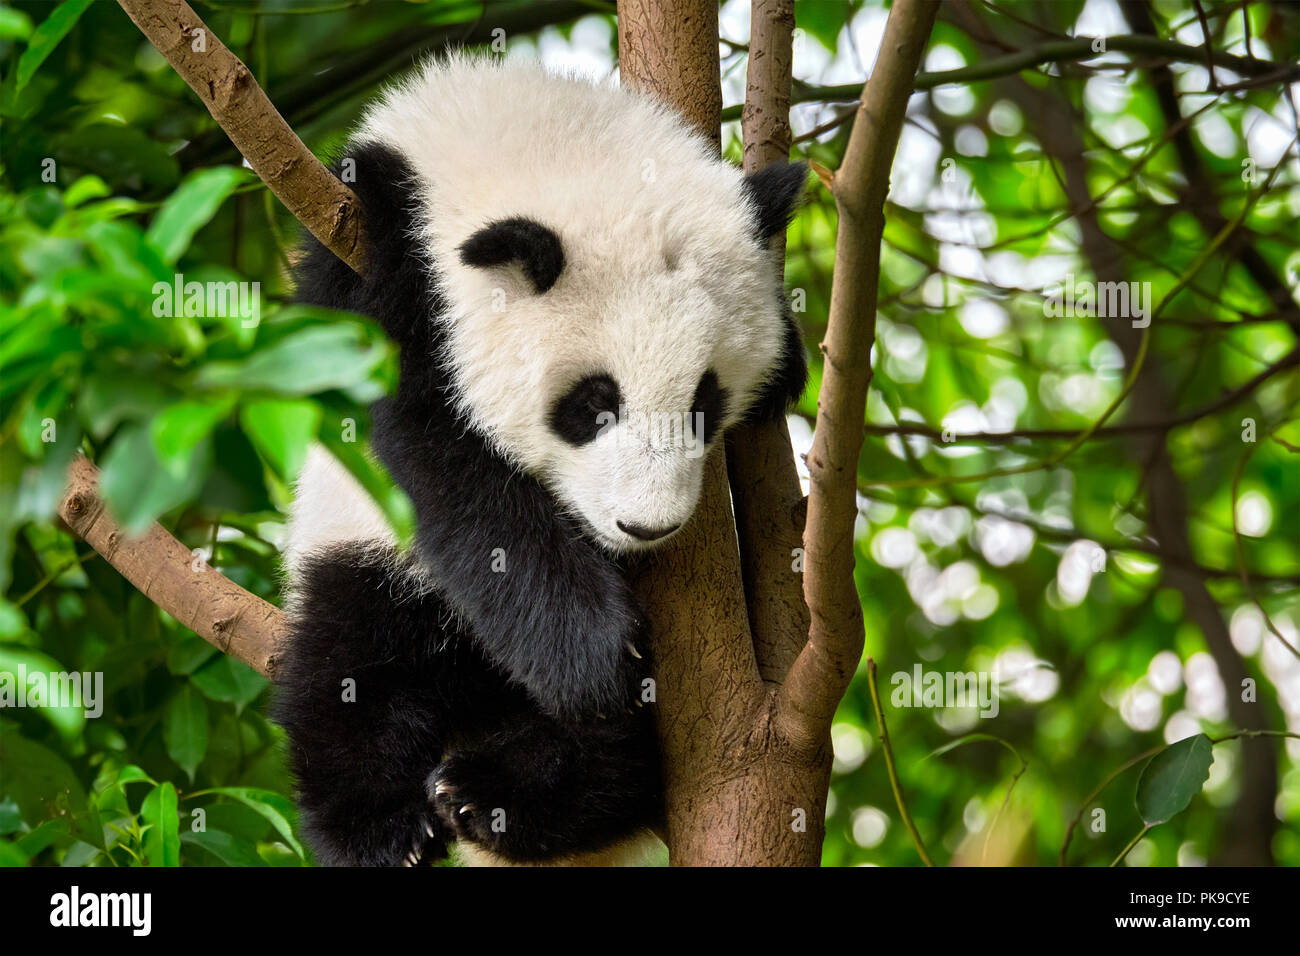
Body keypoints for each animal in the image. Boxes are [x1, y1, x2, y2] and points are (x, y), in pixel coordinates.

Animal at [272, 54, 808, 866]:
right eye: (592, 404)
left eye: (706, 400)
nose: (645, 528)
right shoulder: (370, 247)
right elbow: (439, 462)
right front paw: (589, 653)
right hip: (360, 559)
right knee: (350, 673)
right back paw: (391, 827)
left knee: (616, 759)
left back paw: (500, 794)